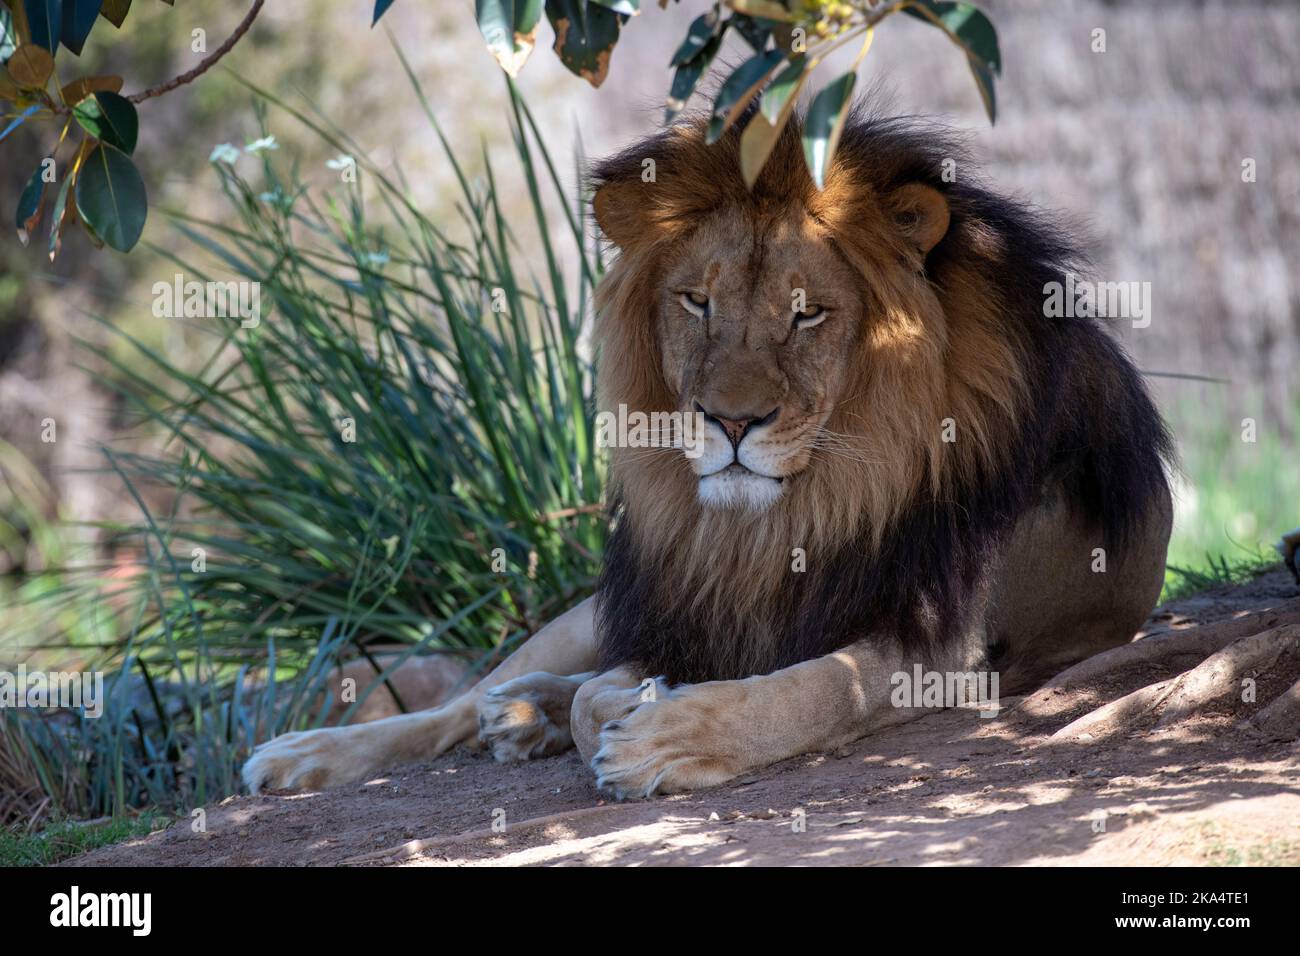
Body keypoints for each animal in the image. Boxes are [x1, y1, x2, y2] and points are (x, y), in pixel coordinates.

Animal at [242, 105, 1174, 799]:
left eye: (807, 313)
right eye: (695, 302)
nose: (730, 422)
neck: (820, 493)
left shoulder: (945, 640)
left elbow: (808, 689)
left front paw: (665, 736)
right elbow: (605, 694)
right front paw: (624, 707)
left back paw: (529, 714)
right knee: (467, 697)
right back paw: (314, 752)